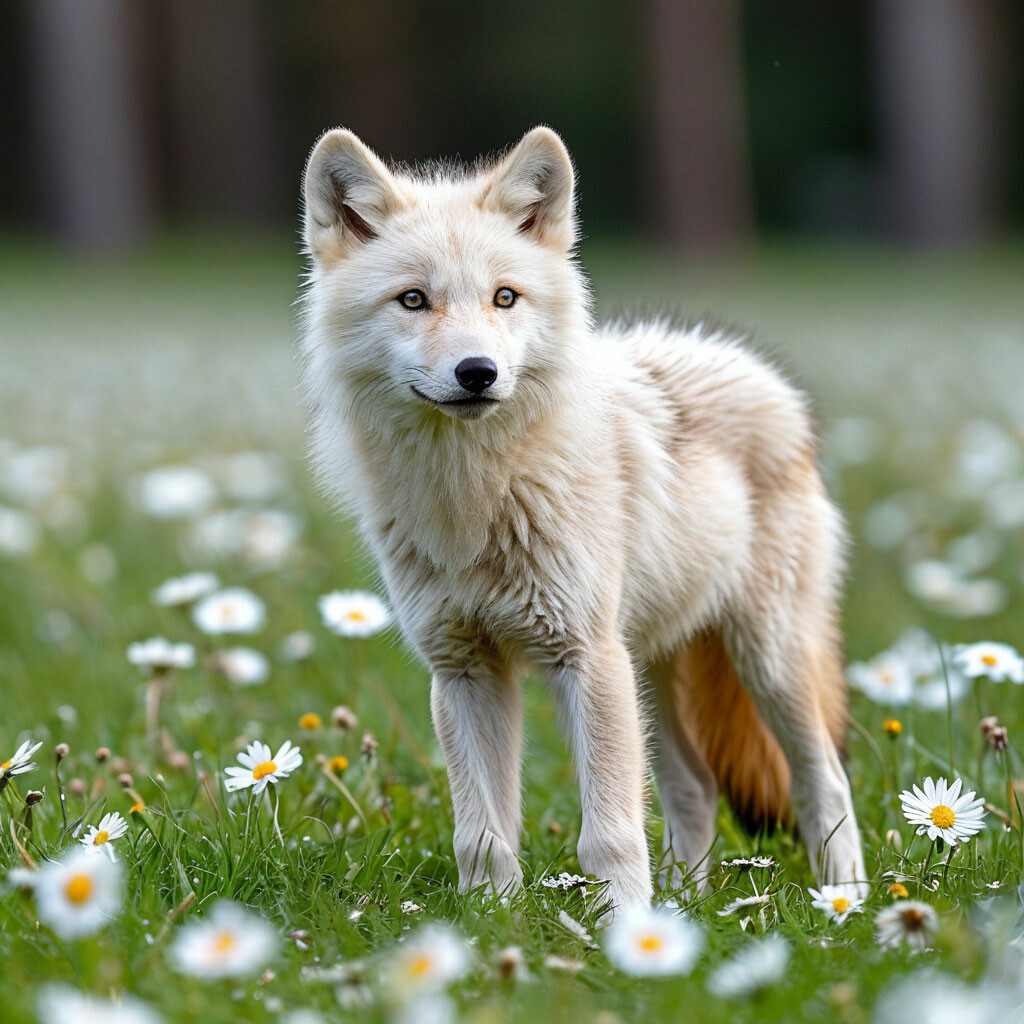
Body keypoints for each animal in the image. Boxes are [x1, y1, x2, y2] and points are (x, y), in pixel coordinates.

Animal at [298, 126, 867, 911]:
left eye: (505, 297)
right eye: (413, 300)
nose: (477, 373)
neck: (480, 495)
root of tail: (760, 374)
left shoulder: (584, 658)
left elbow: (610, 835)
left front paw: (625, 926)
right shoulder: (464, 671)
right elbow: (481, 838)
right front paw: (492, 924)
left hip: (764, 660)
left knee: (825, 785)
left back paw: (844, 903)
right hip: (653, 673)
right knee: (697, 790)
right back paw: (684, 908)